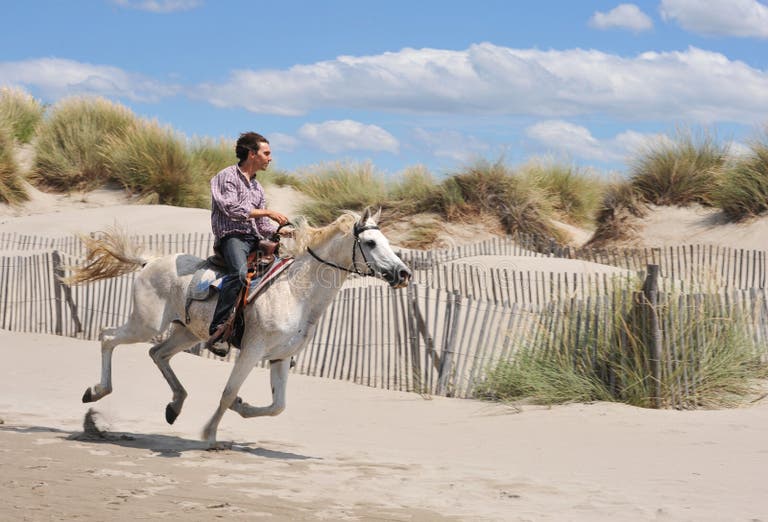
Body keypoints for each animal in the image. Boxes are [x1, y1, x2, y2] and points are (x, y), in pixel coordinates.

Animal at [64, 208, 411, 446]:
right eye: (370, 242)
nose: (404, 273)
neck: (295, 292)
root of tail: (149, 261)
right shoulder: (251, 351)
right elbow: (228, 392)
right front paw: (210, 433)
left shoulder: (280, 357)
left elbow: (277, 406)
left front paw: (242, 408)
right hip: (145, 324)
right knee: (108, 337)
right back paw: (96, 391)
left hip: (185, 331)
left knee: (158, 353)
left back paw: (175, 404)